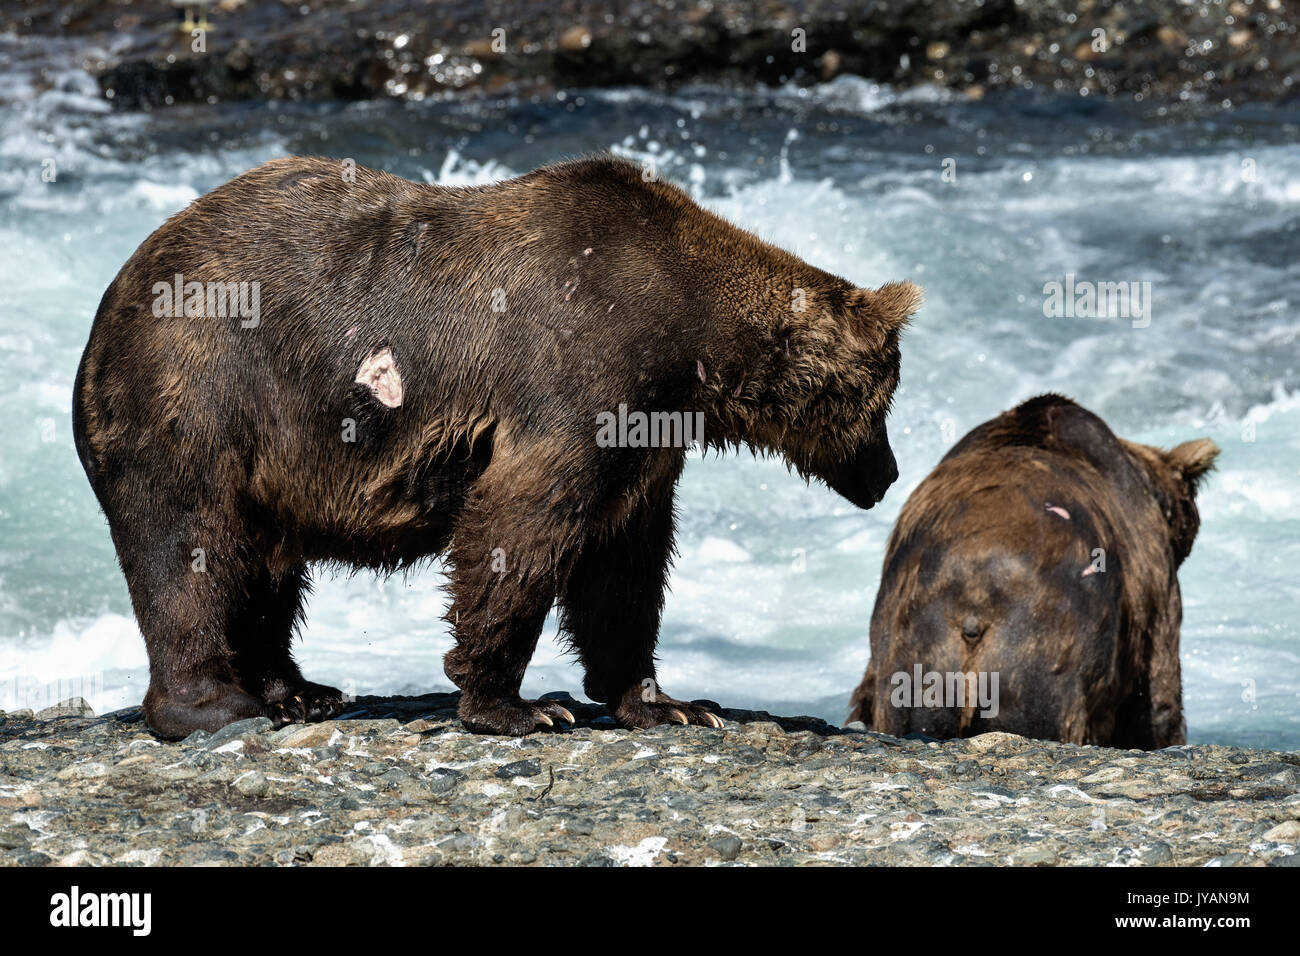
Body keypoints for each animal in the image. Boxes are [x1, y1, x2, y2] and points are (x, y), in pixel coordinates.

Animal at [72, 154, 922, 739]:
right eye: (885, 398)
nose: (887, 475)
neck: (695, 343)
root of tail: (111, 296)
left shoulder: (647, 439)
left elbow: (625, 563)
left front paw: (671, 702)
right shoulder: (579, 374)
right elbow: (522, 524)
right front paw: (516, 703)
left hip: (269, 451)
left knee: (265, 565)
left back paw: (301, 690)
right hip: (199, 387)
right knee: (190, 545)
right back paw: (215, 704)